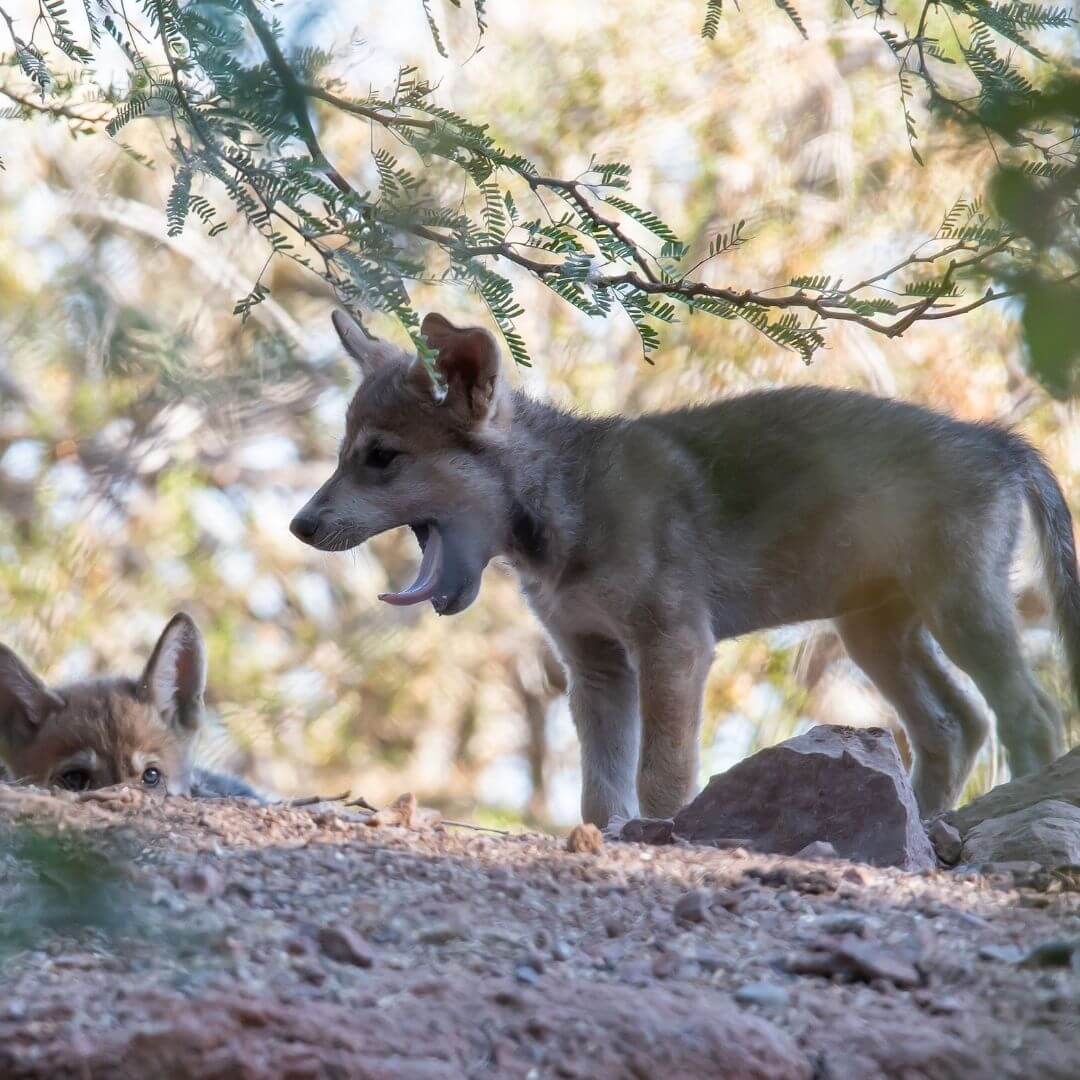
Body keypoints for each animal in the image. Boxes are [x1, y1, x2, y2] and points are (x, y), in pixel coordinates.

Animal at [290, 310, 1080, 827]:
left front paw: (663, 837)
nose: (300, 525)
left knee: (1030, 713)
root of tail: (1000, 442)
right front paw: (604, 839)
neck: (570, 502)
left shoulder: (672, 645)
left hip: (960, 606)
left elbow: (661, 775)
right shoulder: (594, 665)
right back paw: (923, 819)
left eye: (381, 457)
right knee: (955, 726)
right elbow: (600, 789)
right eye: (343, 453)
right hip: (875, 631)